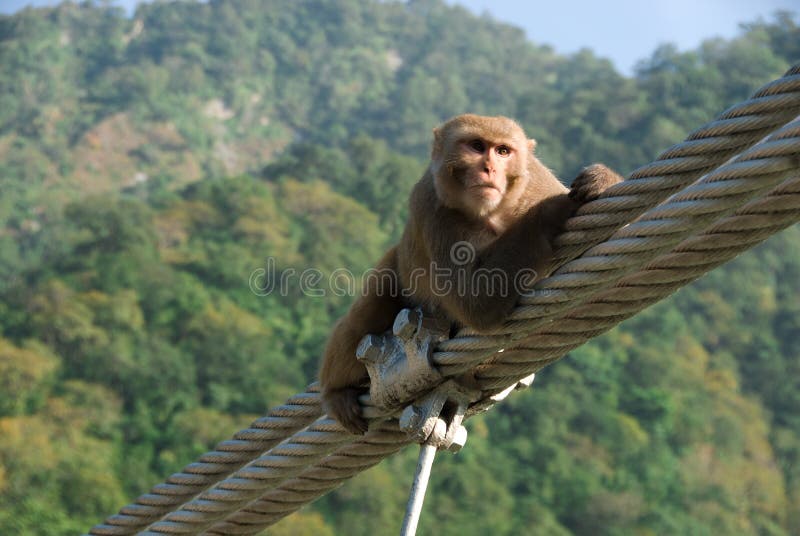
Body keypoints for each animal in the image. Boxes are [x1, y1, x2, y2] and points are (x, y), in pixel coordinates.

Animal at [319, 114, 623, 434]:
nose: (489, 168)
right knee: (370, 310)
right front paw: (555, 208)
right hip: (398, 264)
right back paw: (336, 391)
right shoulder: (432, 207)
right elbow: (475, 300)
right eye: (477, 146)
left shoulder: (536, 180)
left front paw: (603, 179)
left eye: (503, 151)